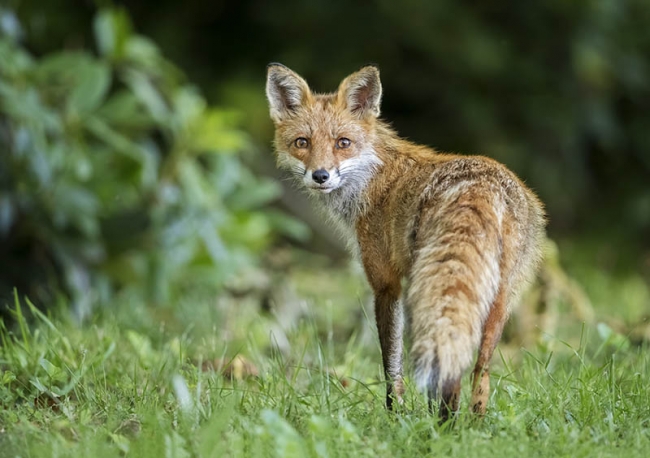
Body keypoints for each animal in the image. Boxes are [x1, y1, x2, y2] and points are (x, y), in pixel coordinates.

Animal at [265, 63, 546, 421]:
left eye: (343, 142)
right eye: (302, 142)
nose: (321, 175)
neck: (373, 177)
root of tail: (482, 188)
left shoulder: (386, 283)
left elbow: (391, 361)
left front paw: (394, 413)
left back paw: (443, 425)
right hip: (500, 297)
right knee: (479, 369)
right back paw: (471, 423)